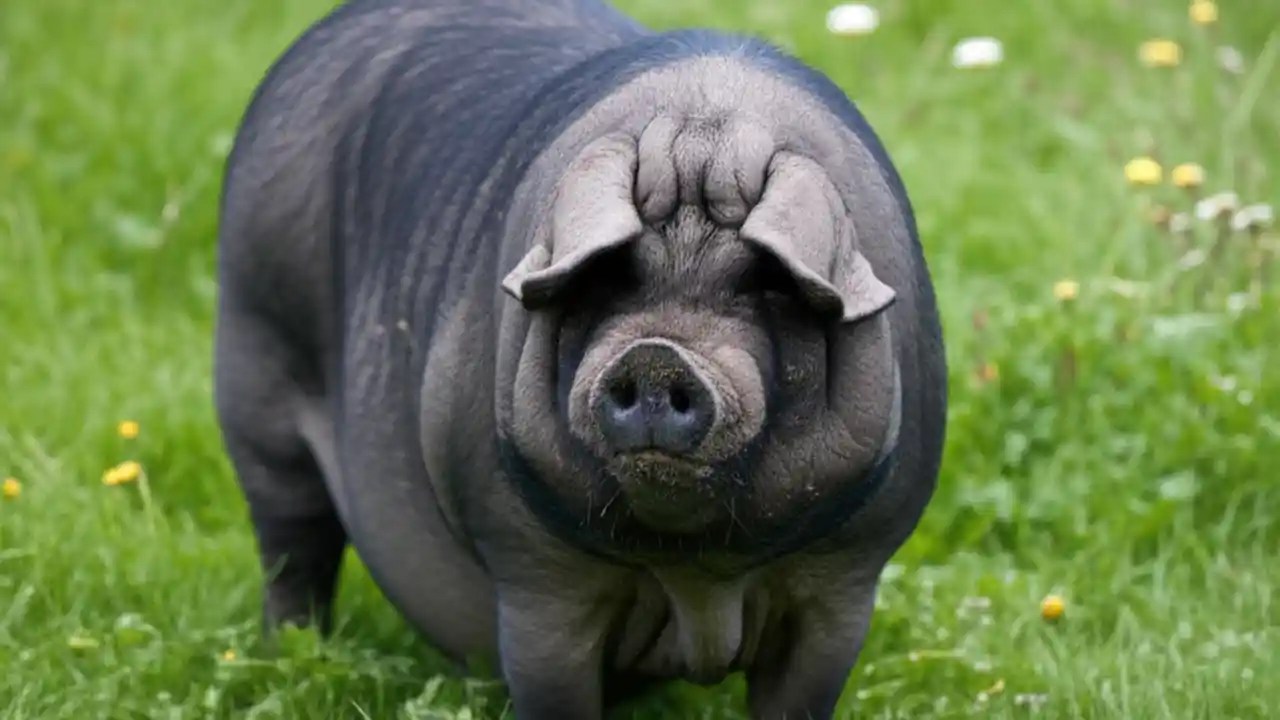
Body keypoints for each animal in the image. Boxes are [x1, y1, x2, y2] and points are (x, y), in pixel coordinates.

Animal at [212, 0, 947, 718]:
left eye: (766, 284)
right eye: (608, 274)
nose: (658, 356)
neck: (696, 571)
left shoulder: (845, 577)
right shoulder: (537, 579)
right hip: (255, 367)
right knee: (293, 544)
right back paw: (290, 655)